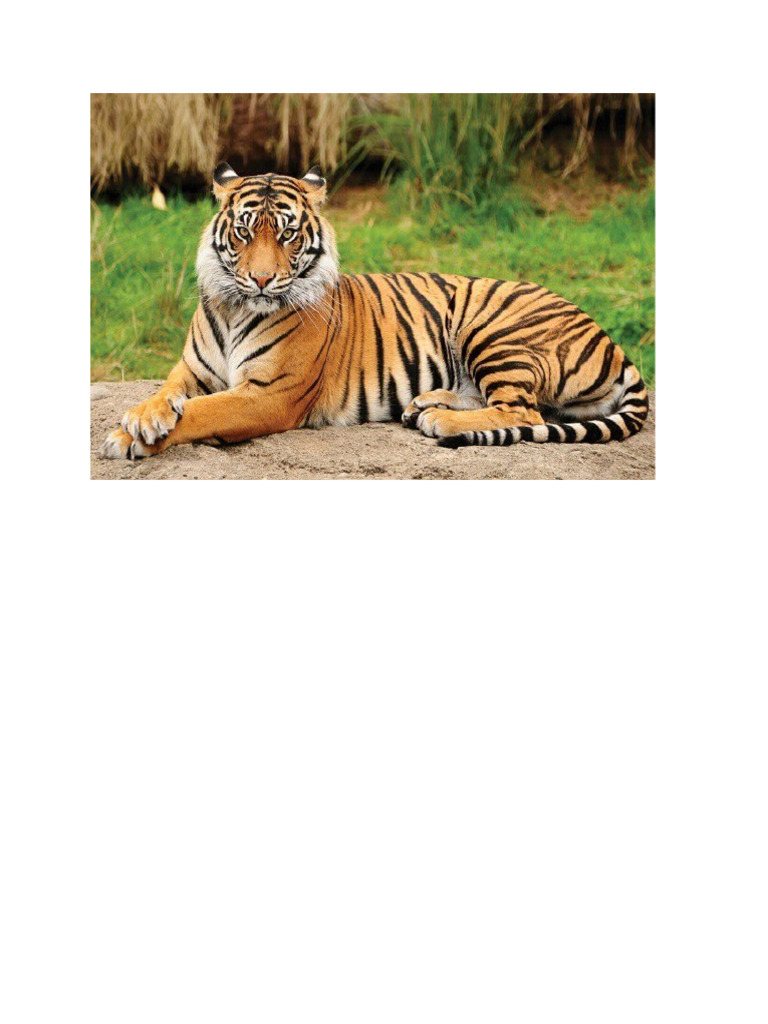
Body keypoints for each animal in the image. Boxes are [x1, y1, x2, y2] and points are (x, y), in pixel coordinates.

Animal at [101, 163, 649, 459]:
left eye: (287, 234)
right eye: (243, 231)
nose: (260, 279)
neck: (237, 308)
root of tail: (611, 340)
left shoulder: (270, 394)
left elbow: (201, 412)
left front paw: (128, 438)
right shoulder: (192, 370)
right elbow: (166, 393)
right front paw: (141, 418)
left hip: (492, 328)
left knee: (523, 408)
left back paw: (438, 420)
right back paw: (425, 404)